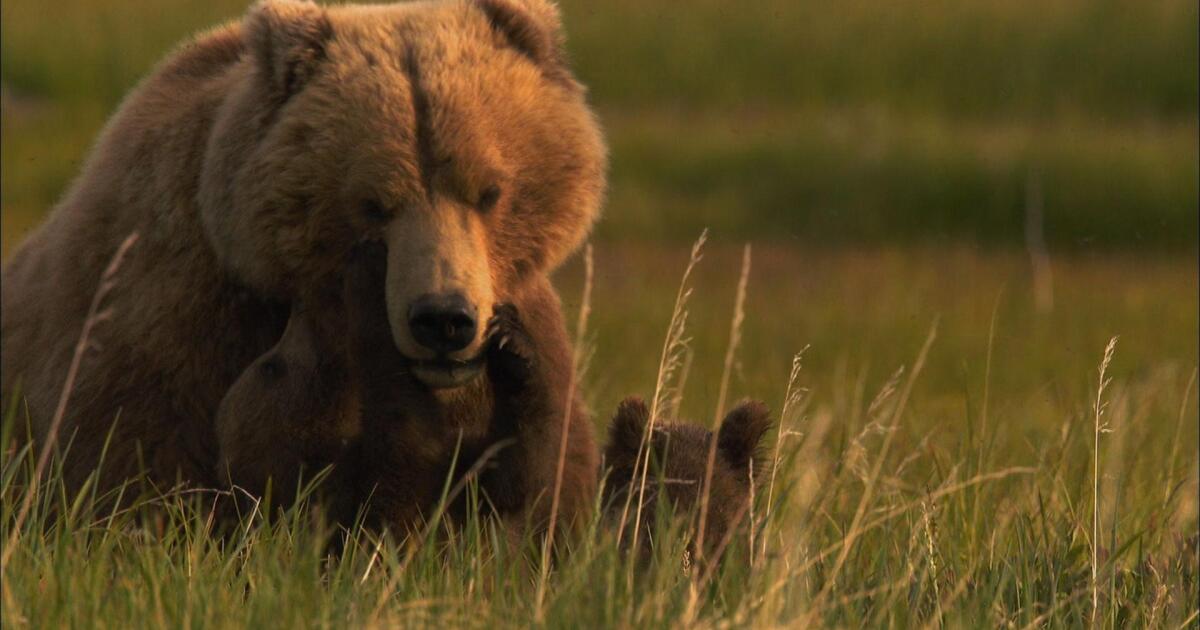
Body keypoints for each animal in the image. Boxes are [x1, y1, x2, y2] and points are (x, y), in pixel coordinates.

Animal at [215, 242, 596, 534]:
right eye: (270, 366)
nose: (298, 306)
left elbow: (511, 483)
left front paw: (512, 343)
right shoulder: (331, 498)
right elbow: (400, 487)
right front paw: (369, 280)